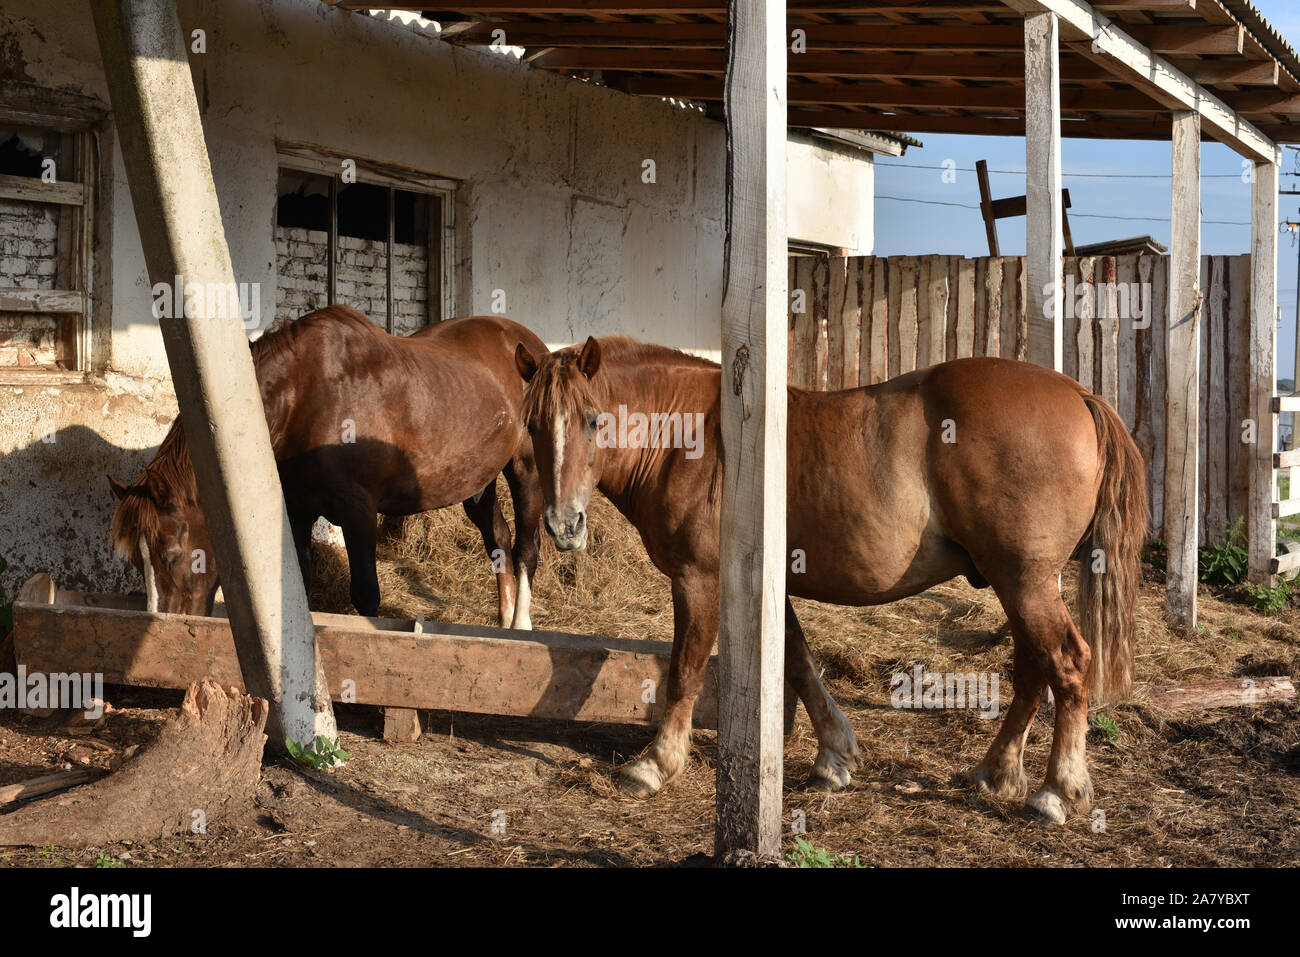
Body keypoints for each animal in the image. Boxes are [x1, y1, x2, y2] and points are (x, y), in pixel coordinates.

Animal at [110, 306, 547, 628]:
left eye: (171, 554)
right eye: (135, 560)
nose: (162, 627)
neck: (304, 396)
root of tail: (532, 347)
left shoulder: (358, 511)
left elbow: (366, 596)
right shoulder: (298, 511)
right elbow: (301, 587)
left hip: (526, 469)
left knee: (526, 548)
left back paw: (521, 627)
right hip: (477, 482)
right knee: (498, 539)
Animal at [514, 336, 1147, 825]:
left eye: (594, 420)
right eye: (533, 424)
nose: (563, 524)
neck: (688, 439)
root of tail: (1079, 393)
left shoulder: (699, 580)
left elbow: (685, 669)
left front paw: (656, 762)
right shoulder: (771, 586)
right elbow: (797, 661)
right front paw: (834, 756)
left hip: (1024, 581)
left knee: (1066, 662)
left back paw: (1056, 791)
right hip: (1019, 583)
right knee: (1032, 669)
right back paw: (997, 771)